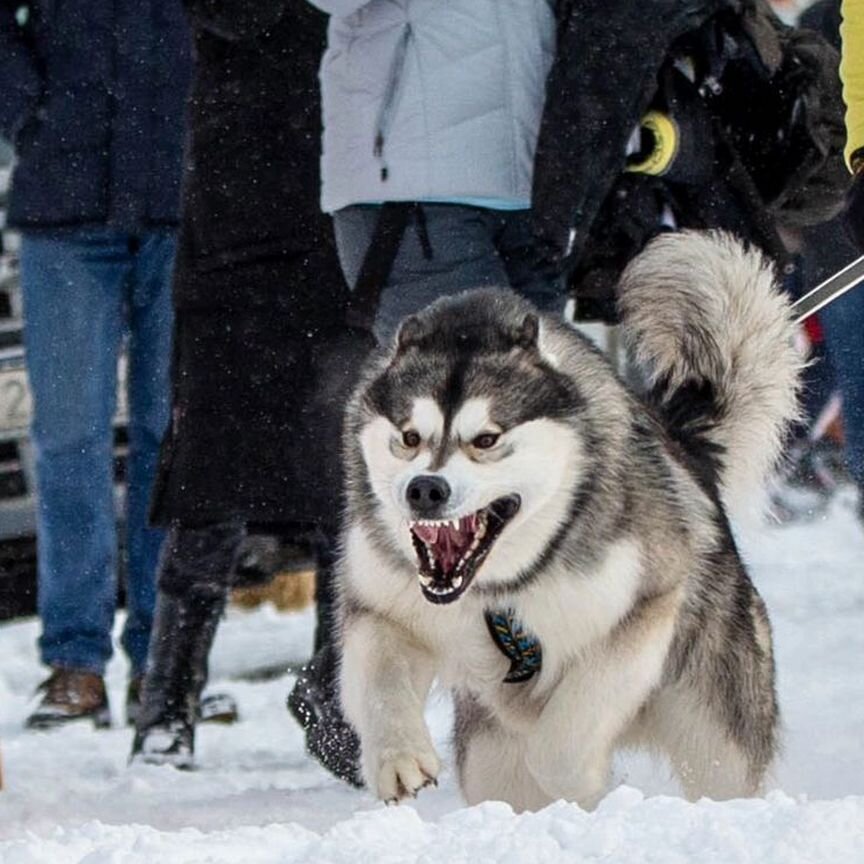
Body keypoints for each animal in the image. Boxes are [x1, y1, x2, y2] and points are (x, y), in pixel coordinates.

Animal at [334, 230, 800, 808]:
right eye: (409, 436)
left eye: (486, 438)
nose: (424, 489)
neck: (501, 590)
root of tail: (685, 446)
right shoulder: (381, 607)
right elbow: (379, 680)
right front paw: (396, 758)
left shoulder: (643, 606)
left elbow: (561, 743)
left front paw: (584, 787)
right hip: (490, 757)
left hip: (712, 732)